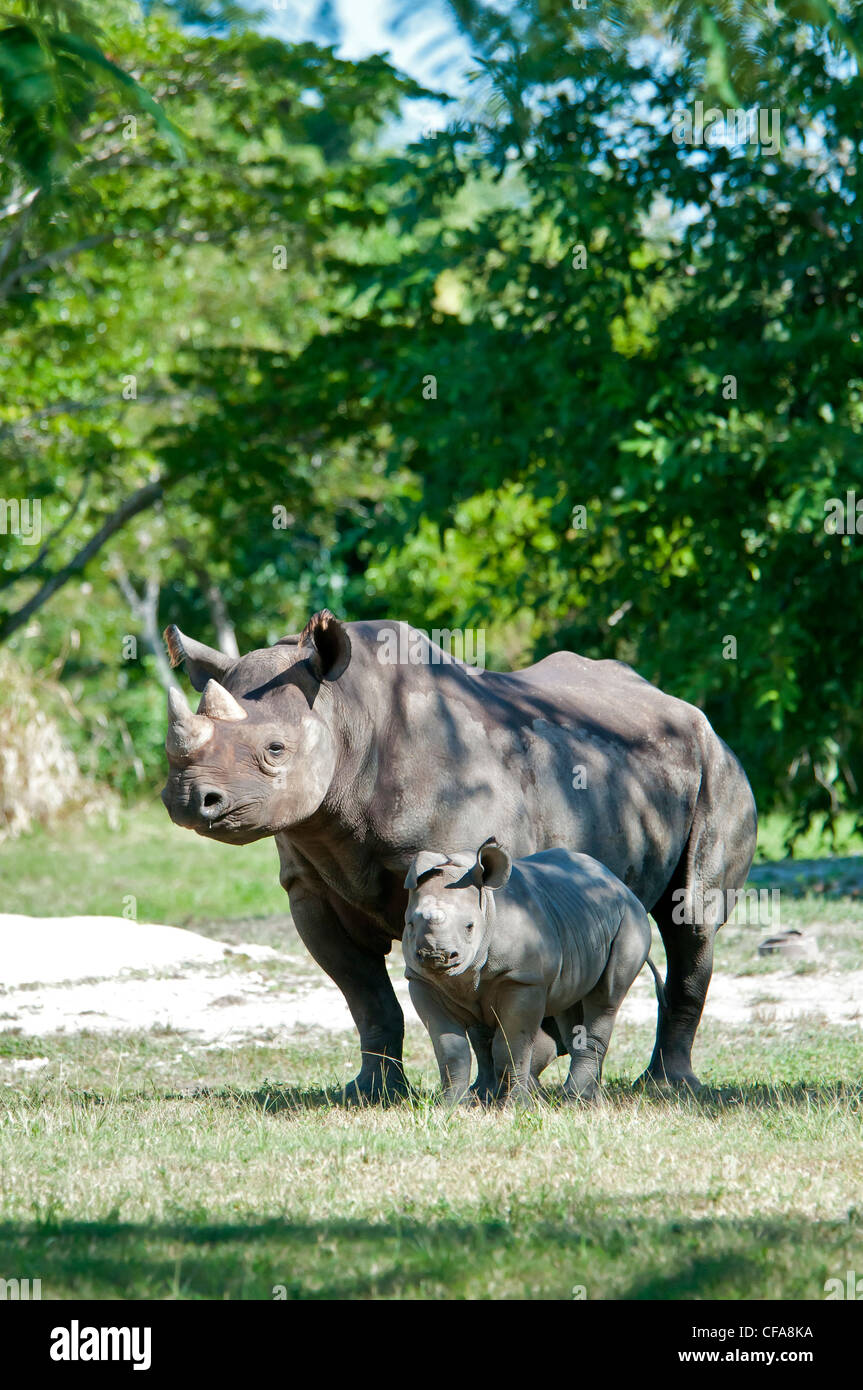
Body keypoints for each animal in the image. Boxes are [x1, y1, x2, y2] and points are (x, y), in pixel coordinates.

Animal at [403, 838, 665, 1104]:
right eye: (410, 925)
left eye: (469, 926)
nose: (435, 955)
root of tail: (618, 882)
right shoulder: (422, 981)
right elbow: (450, 1050)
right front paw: (451, 1105)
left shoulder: (523, 978)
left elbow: (511, 1045)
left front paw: (513, 1104)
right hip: (579, 918)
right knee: (571, 1008)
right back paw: (587, 1099)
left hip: (631, 919)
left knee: (605, 998)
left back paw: (574, 1099)